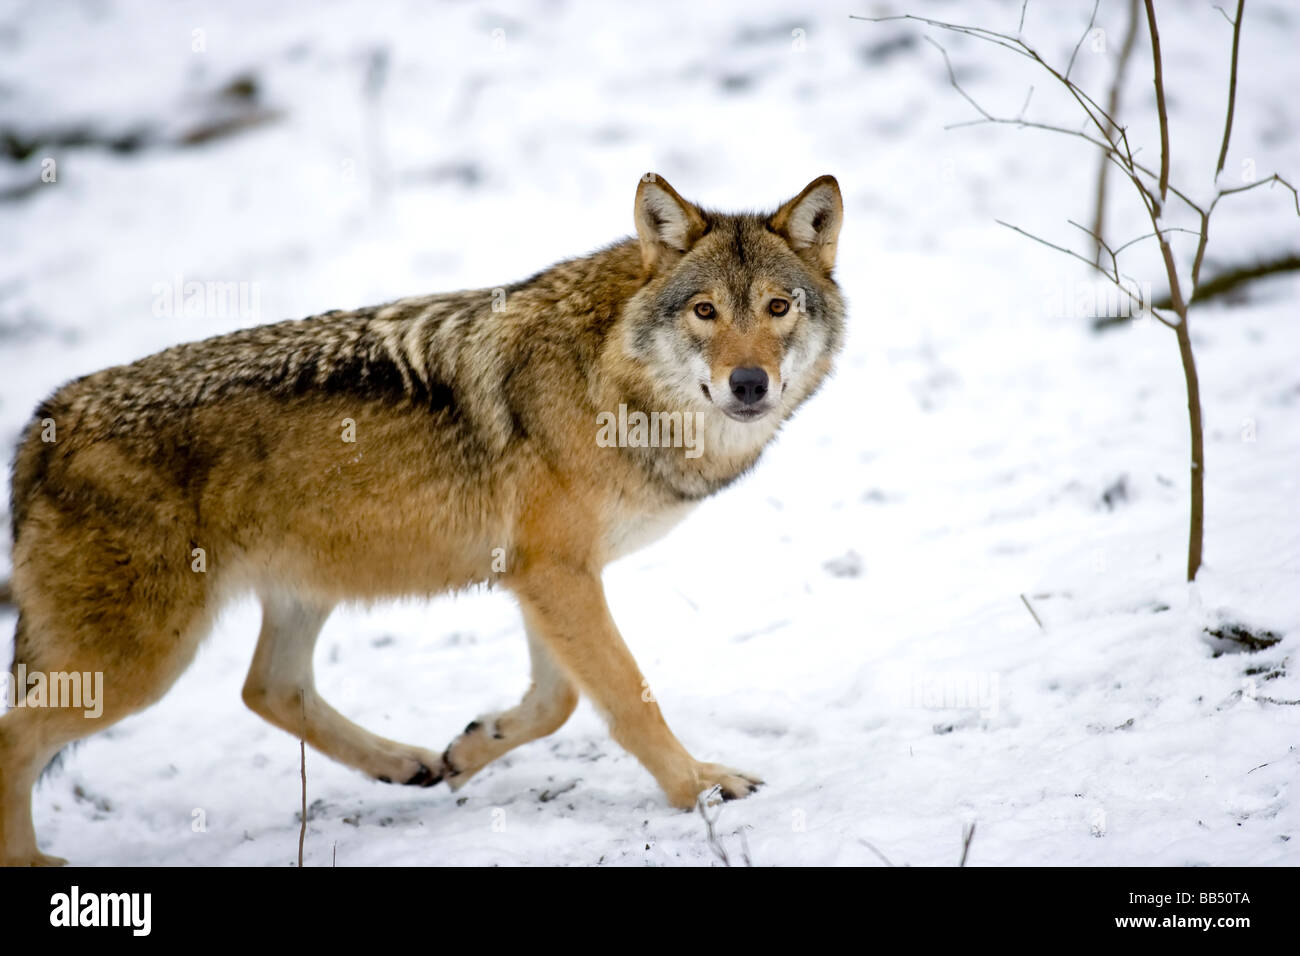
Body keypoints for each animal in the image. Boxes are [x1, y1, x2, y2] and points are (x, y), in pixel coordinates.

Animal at [0, 173, 845, 865]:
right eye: (705, 311)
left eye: (777, 307)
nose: (749, 383)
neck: (607, 375)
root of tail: (44, 422)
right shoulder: (556, 575)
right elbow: (627, 696)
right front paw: (697, 786)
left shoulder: (546, 576)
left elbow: (560, 700)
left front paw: (473, 749)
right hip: (136, 666)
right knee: (15, 736)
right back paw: (34, 861)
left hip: (296, 598)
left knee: (265, 688)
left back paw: (405, 763)